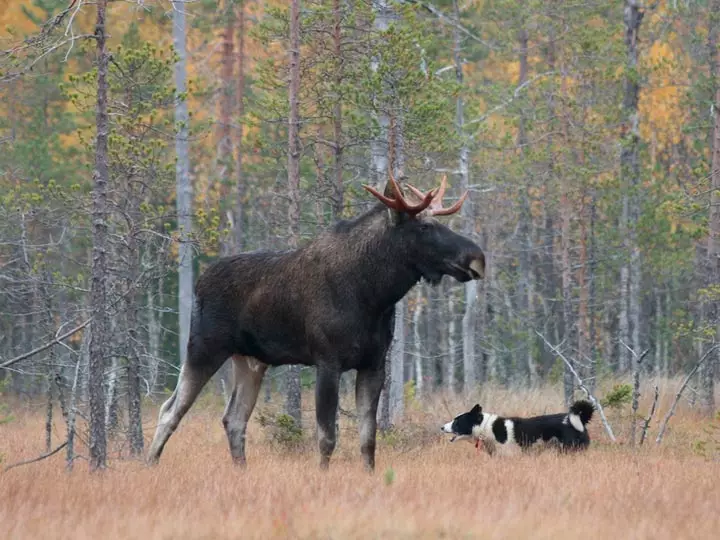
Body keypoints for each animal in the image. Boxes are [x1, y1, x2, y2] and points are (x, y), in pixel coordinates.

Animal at [146, 175, 484, 470]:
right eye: (425, 226)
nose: (477, 257)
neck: (374, 294)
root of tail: (199, 283)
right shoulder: (328, 361)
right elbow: (327, 438)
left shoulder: (374, 364)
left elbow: (368, 439)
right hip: (204, 347)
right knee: (169, 410)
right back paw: (150, 464)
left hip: (251, 361)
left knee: (234, 419)